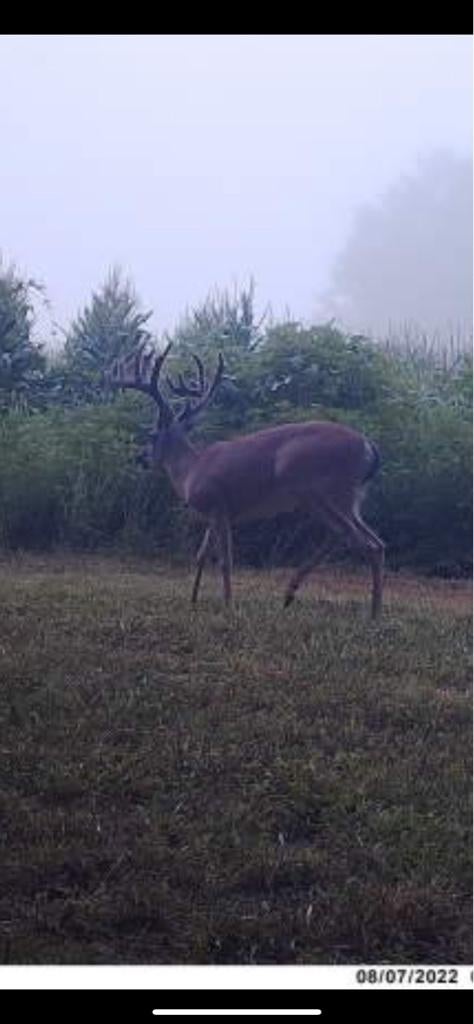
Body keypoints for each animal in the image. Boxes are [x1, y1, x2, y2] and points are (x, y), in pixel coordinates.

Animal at [106, 343, 385, 618]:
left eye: (151, 435)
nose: (140, 457)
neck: (190, 471)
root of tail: (369, 447)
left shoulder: (219, 504)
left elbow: (225, 560)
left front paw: (228, 604)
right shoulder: (216, 514)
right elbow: (201, 555)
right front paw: (193, 599)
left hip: (323, 490)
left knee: (361, 541)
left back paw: (364, 611)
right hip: (348, 498)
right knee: (371, 541)